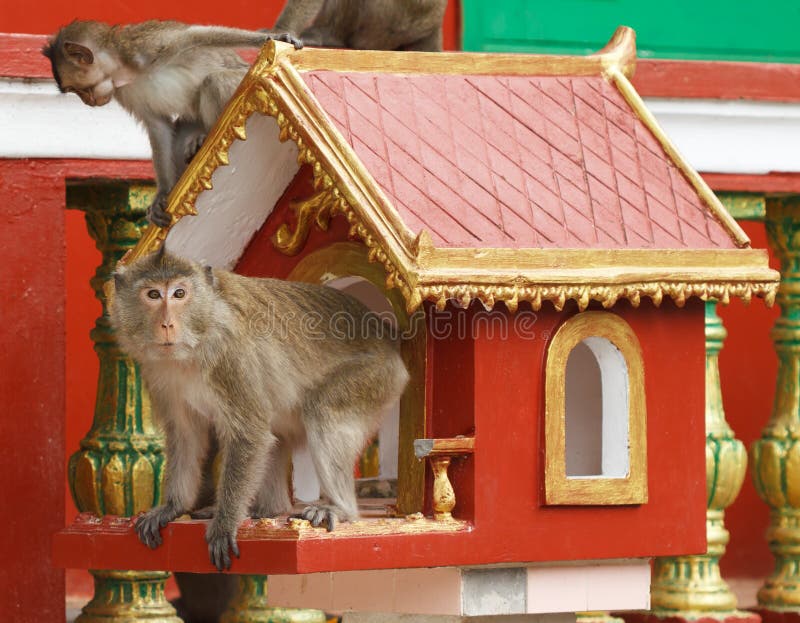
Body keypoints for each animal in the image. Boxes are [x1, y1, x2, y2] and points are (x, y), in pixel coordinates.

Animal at [42, 20, 301, 228]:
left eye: (79, 90)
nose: (87, 102)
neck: (122, 71)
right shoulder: (124, 93)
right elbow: (158, 126)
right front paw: (162, 194)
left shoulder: (148, 47)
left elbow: (197, 36)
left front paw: (277, 37)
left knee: (214, 81)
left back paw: (205, 138)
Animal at [110, 248, 409, 571]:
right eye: (153, 294)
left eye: (179, 293)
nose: (166, 324)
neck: (193, 345)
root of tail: (387, 338)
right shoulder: (160, 374)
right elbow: (187, 436)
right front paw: (173, 507)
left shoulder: (230, 356)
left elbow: (249, 435)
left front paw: (225, 523)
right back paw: (268, 510)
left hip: (376, 376)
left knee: (322, 409)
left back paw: (340, 509)